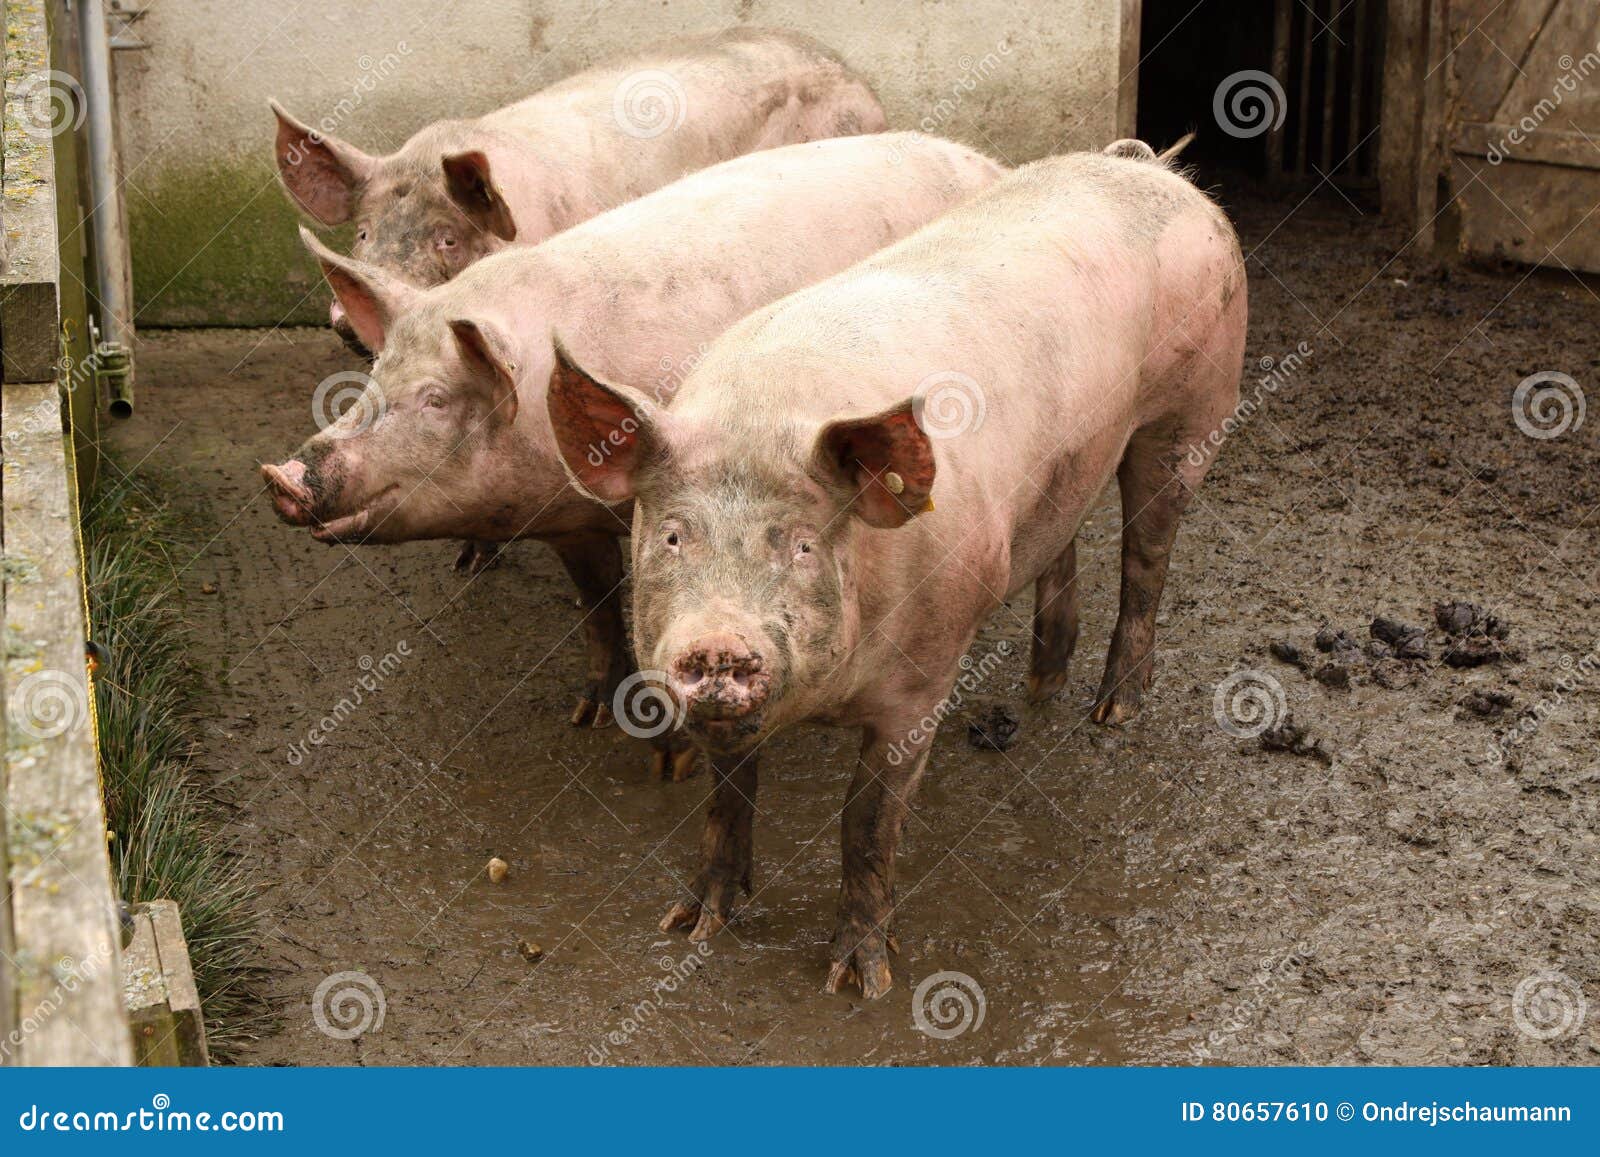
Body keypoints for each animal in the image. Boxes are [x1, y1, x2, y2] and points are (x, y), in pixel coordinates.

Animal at [261, 132, 1005, 779]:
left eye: (436, 399)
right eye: (376, 374)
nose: (286, 474)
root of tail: (981, 159)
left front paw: (666, 758)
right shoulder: (570, 516)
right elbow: (597, 603)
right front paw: (587, 714)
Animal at [544, 141, 1247, 997]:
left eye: (802, 543)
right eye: (675, 537)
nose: (718, 645)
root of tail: (1148, 167)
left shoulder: (926, 673)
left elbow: (867, 819)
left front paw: (859, 981)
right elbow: (728, 795)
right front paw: (694, 924)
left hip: (1196, 404)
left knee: (1148, 552)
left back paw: (1113, 711)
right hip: (1065, 469)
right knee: (1065, 540)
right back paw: (1042, 684)